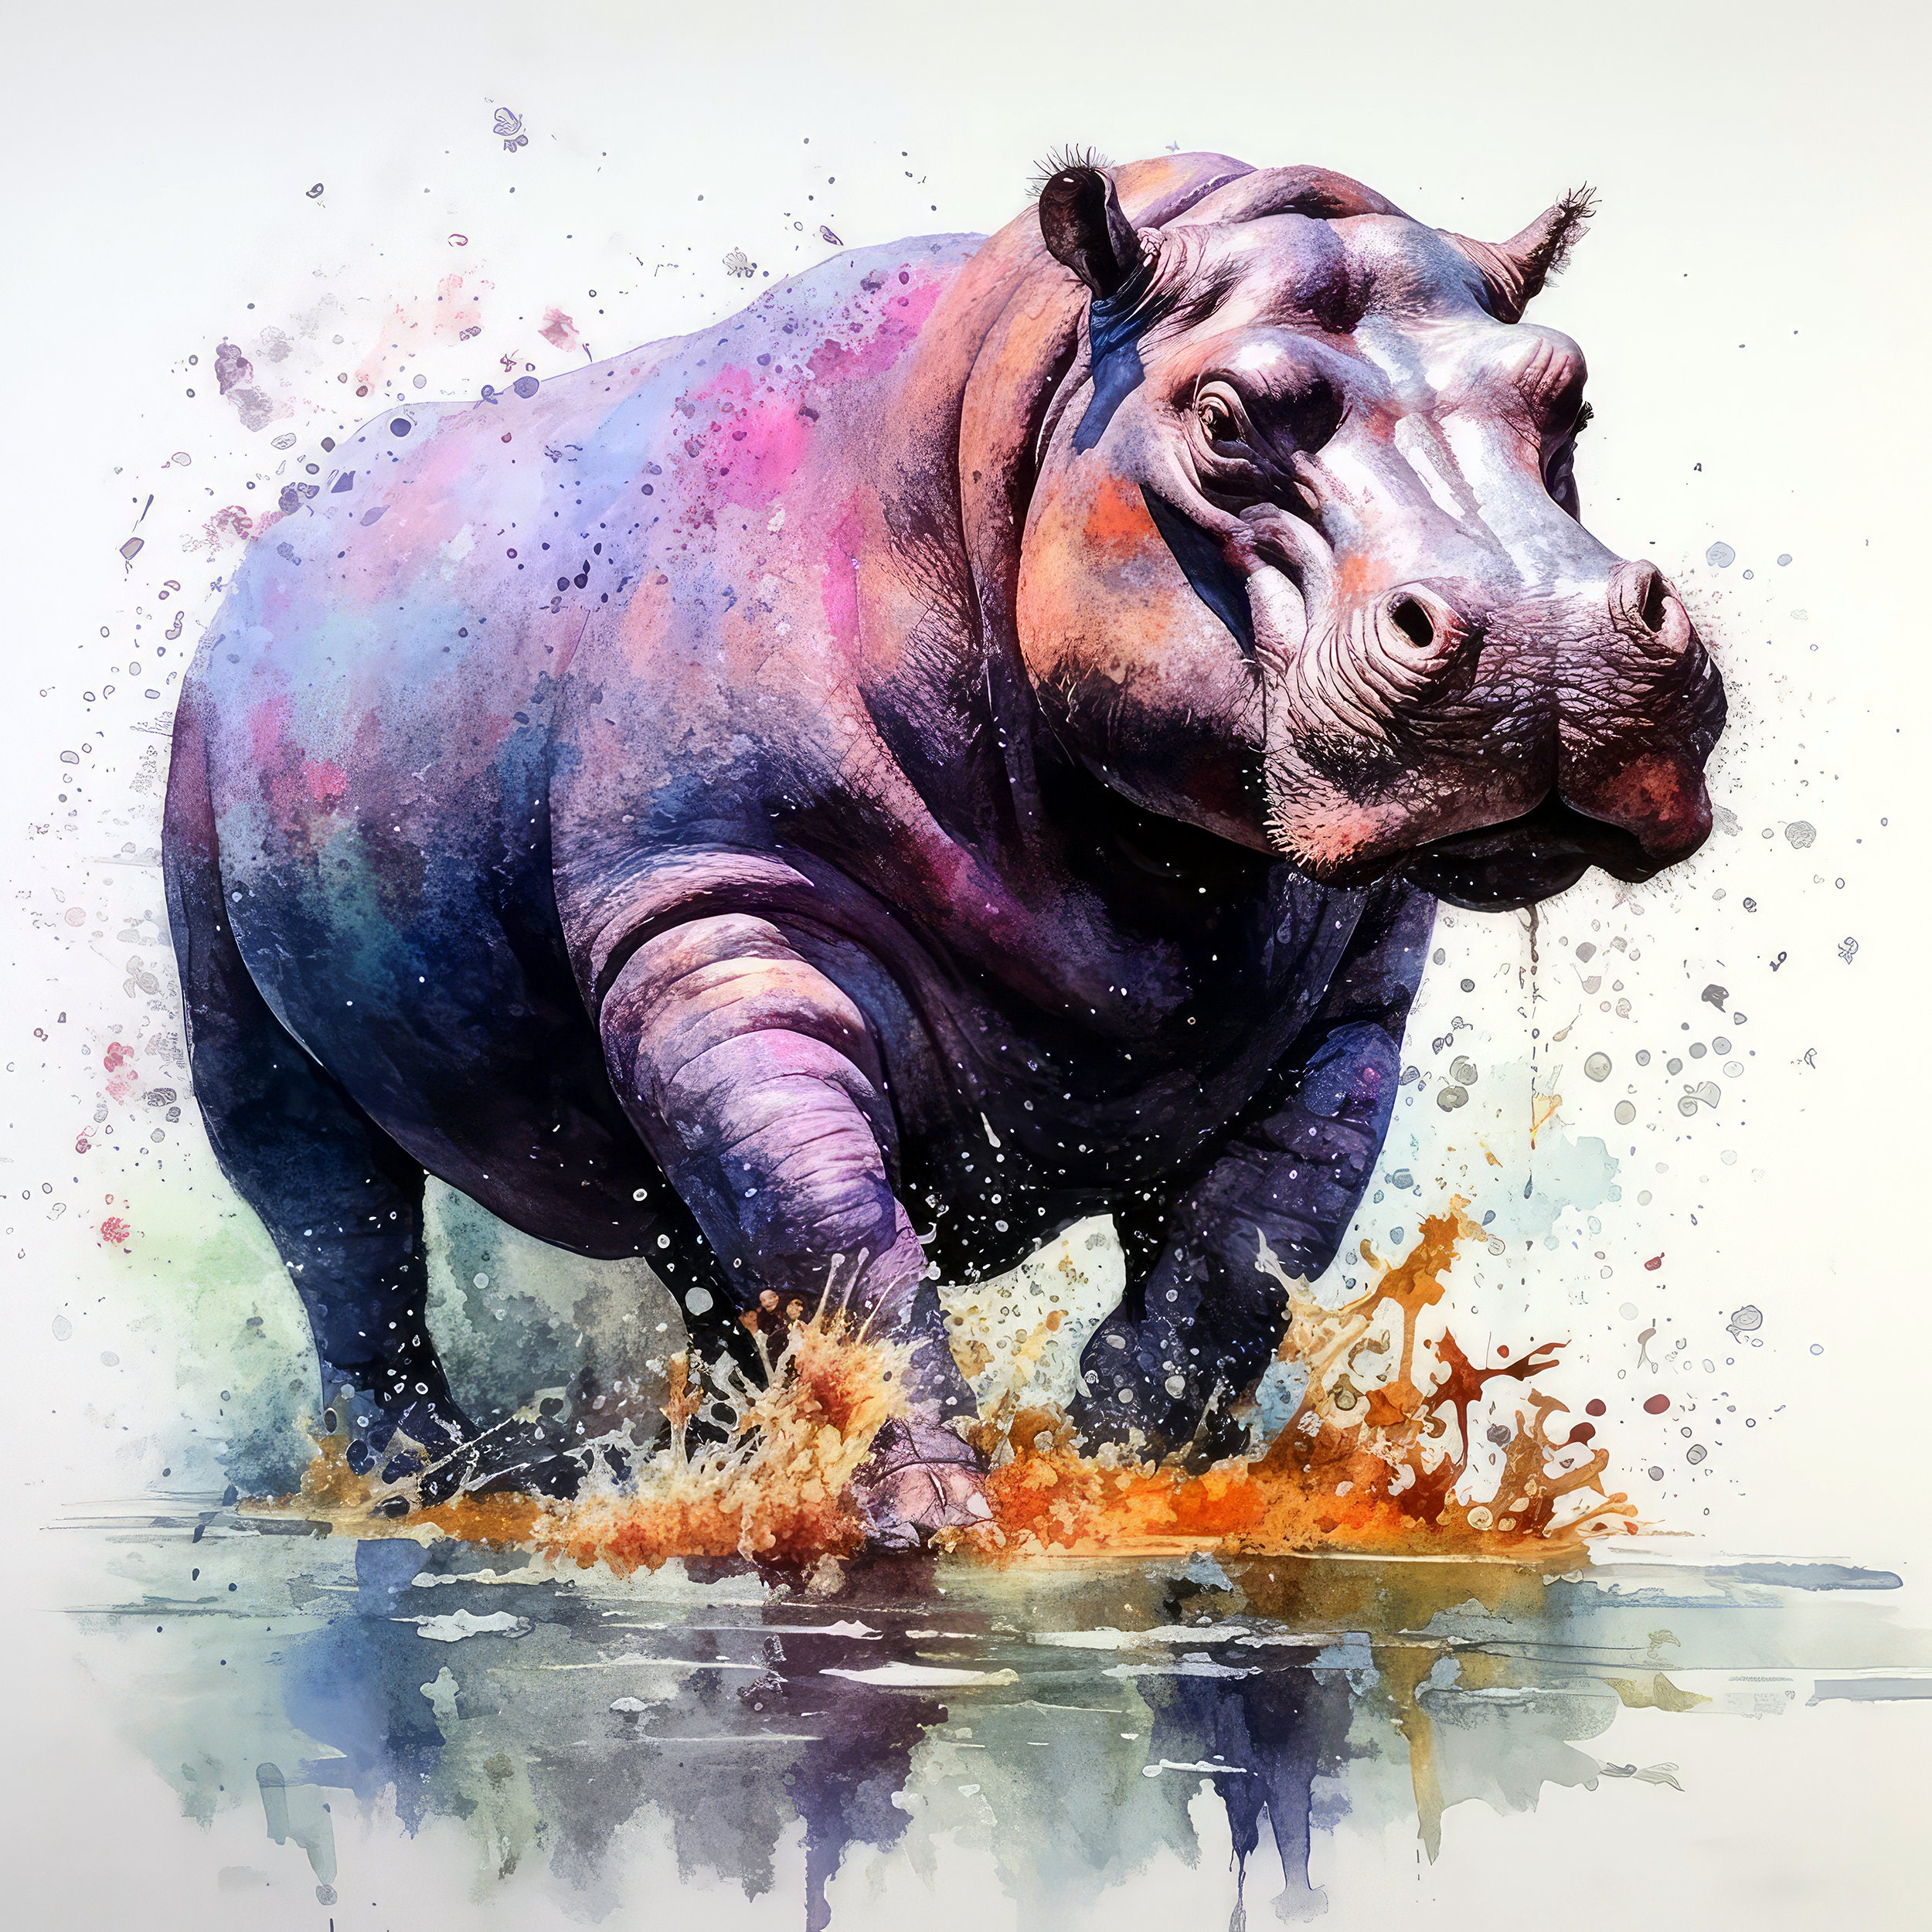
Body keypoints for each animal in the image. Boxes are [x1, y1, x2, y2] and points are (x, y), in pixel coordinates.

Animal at [163, 152, 1725, 1542]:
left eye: (1570, 396)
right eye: (1223, 420)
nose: (1550, 638)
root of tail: (280, 537)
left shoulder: (1349, 1006)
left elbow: (1245, 1254)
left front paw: (1139, 1480)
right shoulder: (714, 920)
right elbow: (835, 1231)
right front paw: (928, 1520)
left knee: (690, 1231)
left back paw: (715, 1461)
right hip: (204, 799)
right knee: (319, 1186)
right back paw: (414, 1491)